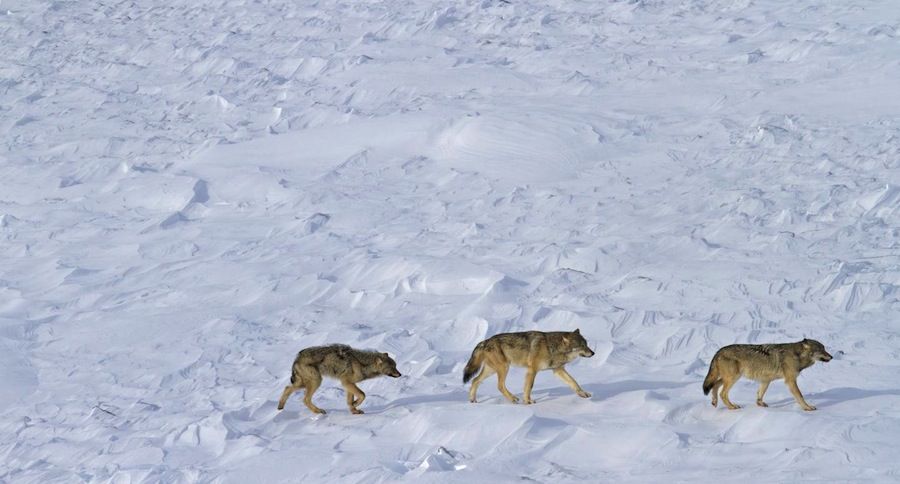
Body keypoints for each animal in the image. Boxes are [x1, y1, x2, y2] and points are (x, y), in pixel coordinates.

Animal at [463, 329, 595, 404]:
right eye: (582, 346)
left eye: (586, 344)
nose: (593, 353)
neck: (552, 348)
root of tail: (485, 341)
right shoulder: (532, 370)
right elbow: (529, 387)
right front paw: (528, 401)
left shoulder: (558, 370)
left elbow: (574, 382)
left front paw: (583, 394)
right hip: (504, 368)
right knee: (499, 386)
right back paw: (513, 399)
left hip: (492, 370)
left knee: (475, 380)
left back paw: (473, 400)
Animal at [702, 338, 832, 411]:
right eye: (821, 350)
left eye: (825, 348)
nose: (831, 357)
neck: (797, 355)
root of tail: (718, 351)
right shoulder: (790, 380)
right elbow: (800, 396)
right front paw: (807, 408)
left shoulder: (766, 380)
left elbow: (760, 394)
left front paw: (760, 404)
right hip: (733, 378)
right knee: (722, 393)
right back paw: (732, 407)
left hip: (730, 378)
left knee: (715, 385)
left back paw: (714, 402)